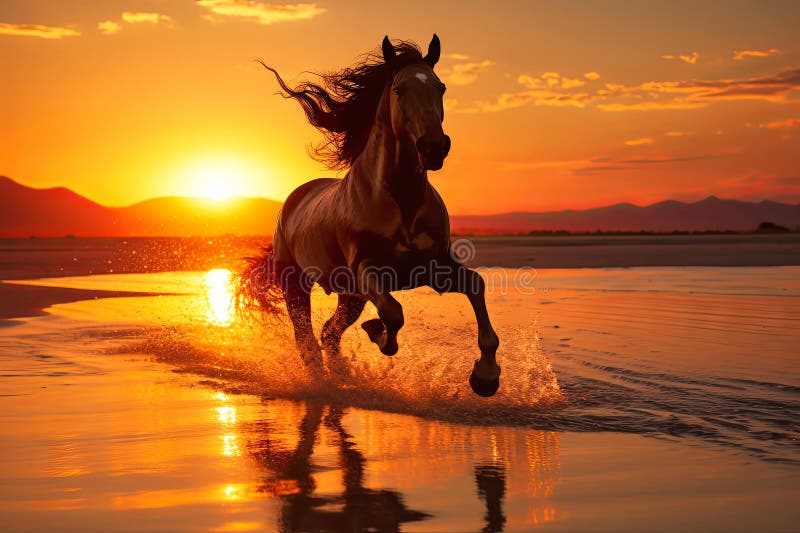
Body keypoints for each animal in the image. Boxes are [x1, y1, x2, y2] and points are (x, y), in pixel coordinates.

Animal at [237, 35, 501, 397]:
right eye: (399, 89)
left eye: (441, 87)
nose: (434, 147)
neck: (402, 202)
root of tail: (292, 201)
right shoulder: (367, 271)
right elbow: (393, 313)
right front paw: (376, 332)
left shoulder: (434, 268)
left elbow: (476, 286)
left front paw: (485, 378)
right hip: (296, 284)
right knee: (307, 340)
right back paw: (324, 381)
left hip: (350, 297)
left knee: (328, 334)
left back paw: (342, 375)